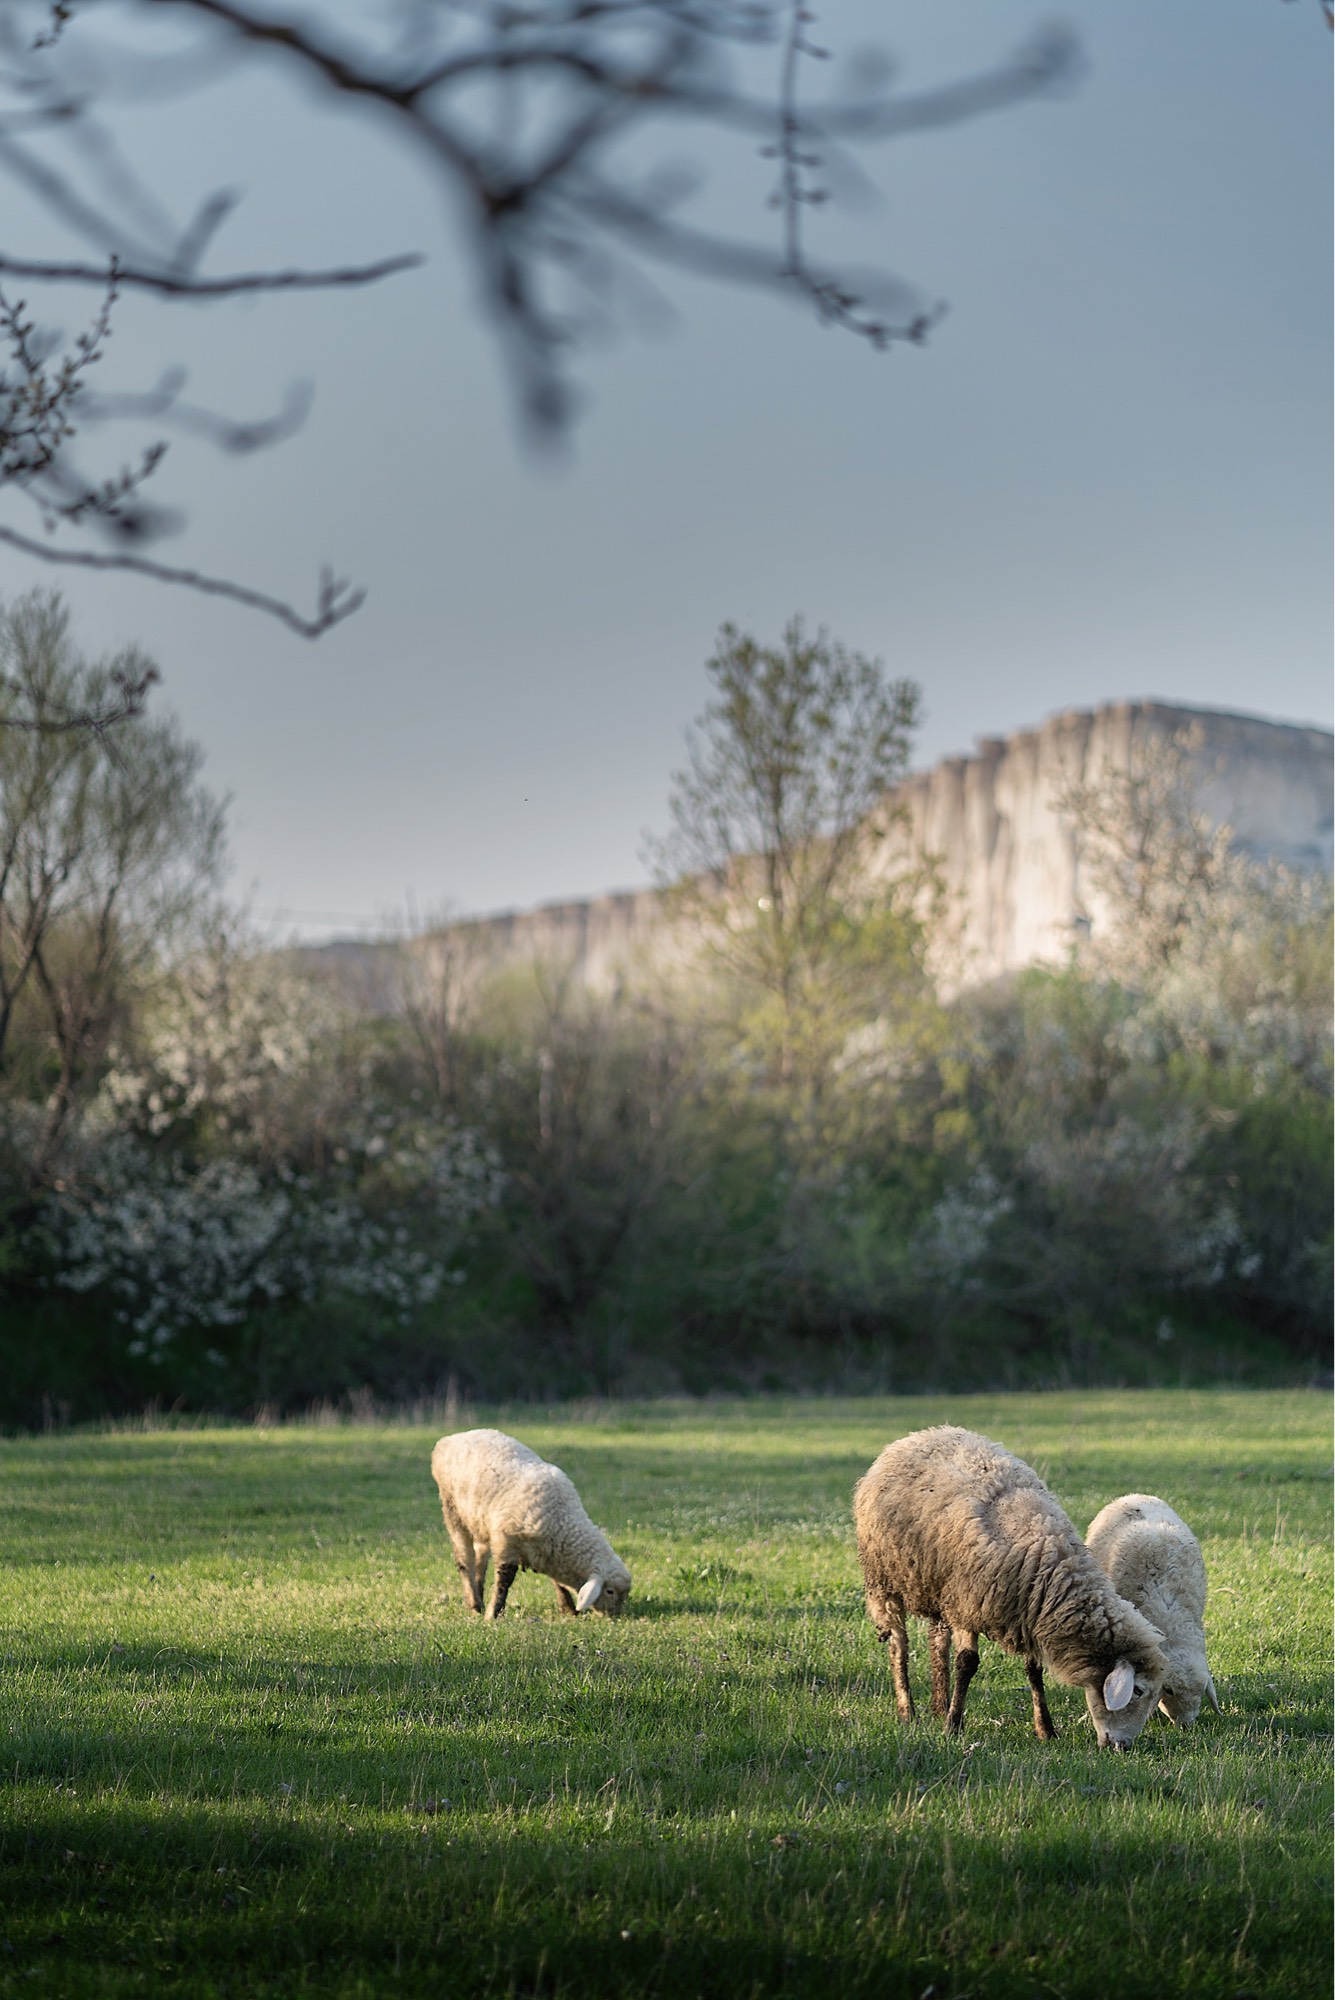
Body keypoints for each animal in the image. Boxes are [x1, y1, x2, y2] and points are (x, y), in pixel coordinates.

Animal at [429, 1424, 635, 1624]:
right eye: (610, 1591)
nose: (614, 1616)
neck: (561, 1520)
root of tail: (452, 1438)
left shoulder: (548, 1551)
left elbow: (557, 1581)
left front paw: (567, 1607)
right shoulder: (507, 1542)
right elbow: (504, 1580)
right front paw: (493, 1613)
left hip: (480, 1520)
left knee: (480, 1556)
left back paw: (479, 1594)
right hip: (453, 1510)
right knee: (464, 1560)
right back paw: (474, 1603)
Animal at [855, 1424, 1167, 1752]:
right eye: (1137, 1691)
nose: (1123, 1747)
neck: (1045, 1557)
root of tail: (921, 1434)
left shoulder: (1028, 1614)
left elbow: (1034, 1671)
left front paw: (1045, 1729)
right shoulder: (969, 1604)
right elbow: (966, 1664)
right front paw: (953, 1727)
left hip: (938, 1586)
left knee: (937, 1639)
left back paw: (939, 1704)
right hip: (884, 1579)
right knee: (898, 1644)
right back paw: (908, 1710)